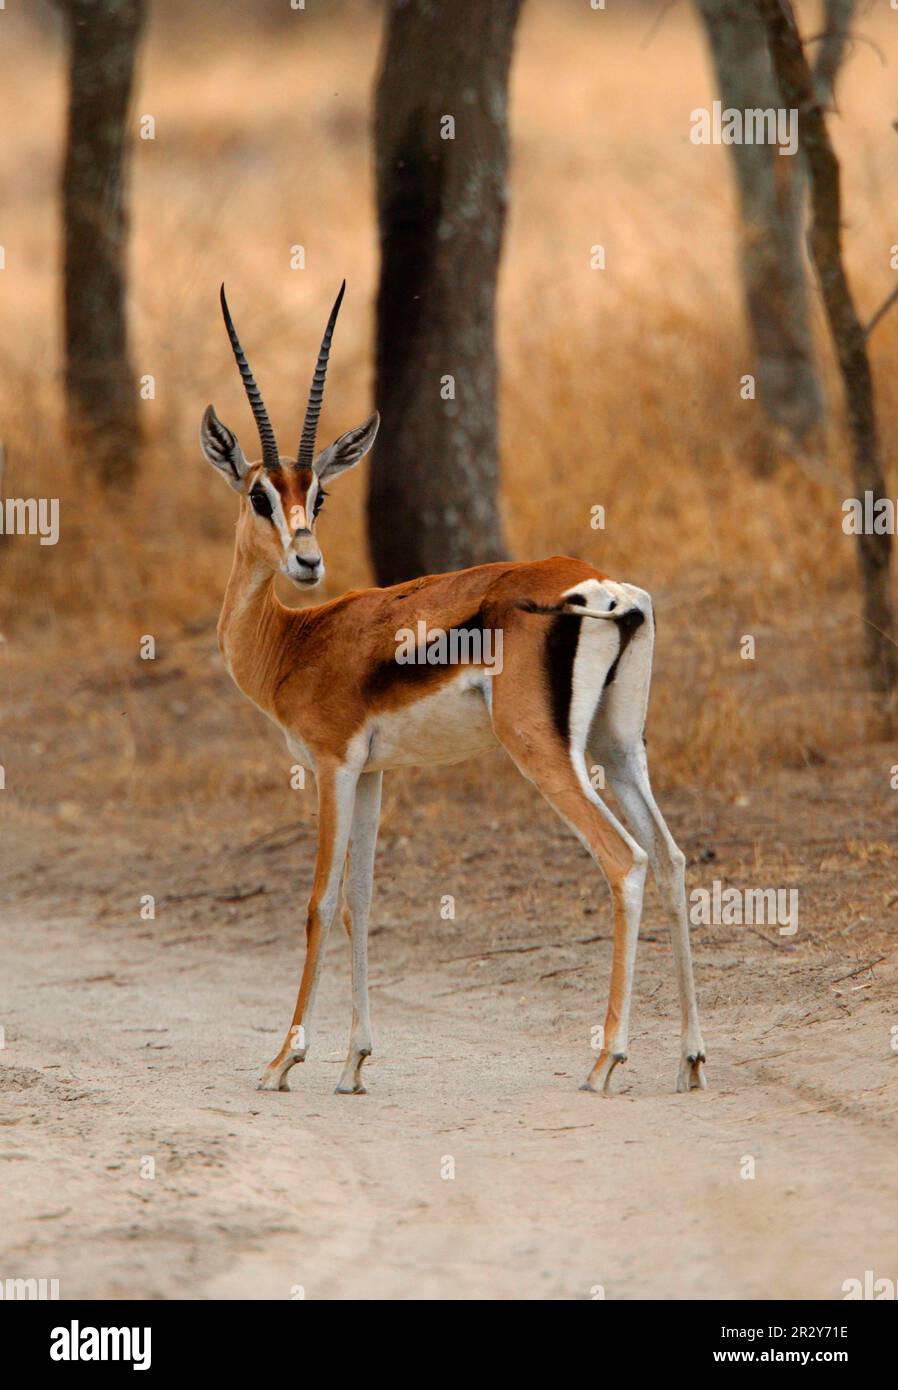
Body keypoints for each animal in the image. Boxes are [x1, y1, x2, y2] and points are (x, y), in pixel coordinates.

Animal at [202, 283, 706, 1098]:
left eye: (319, 495)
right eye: (259, 496)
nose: (308, 562)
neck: (295, 639)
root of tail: (609, 591)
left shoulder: (332, 767)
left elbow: (319, 902)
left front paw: (284, 1061)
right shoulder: (372, 773)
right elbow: (361, 901)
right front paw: (354, 1062)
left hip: (545, 752)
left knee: (624, 860)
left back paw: (606, 1060)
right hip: (618, 747)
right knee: (670, 858)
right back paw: (691, 1059)